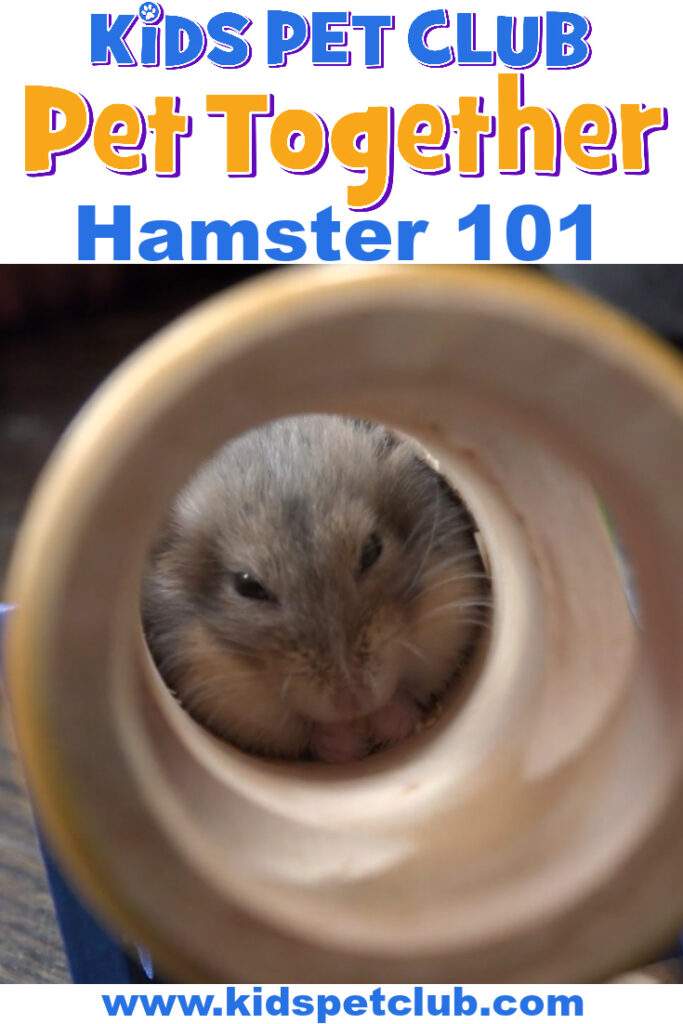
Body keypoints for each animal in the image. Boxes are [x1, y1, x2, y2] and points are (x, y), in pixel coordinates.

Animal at [142, 416, 490, 763]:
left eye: (371, 551)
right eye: (247, 586)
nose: (355, 703)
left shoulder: (447, 619)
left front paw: (387, 721)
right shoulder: (217, 684)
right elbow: (304, 731)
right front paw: (348, 742)